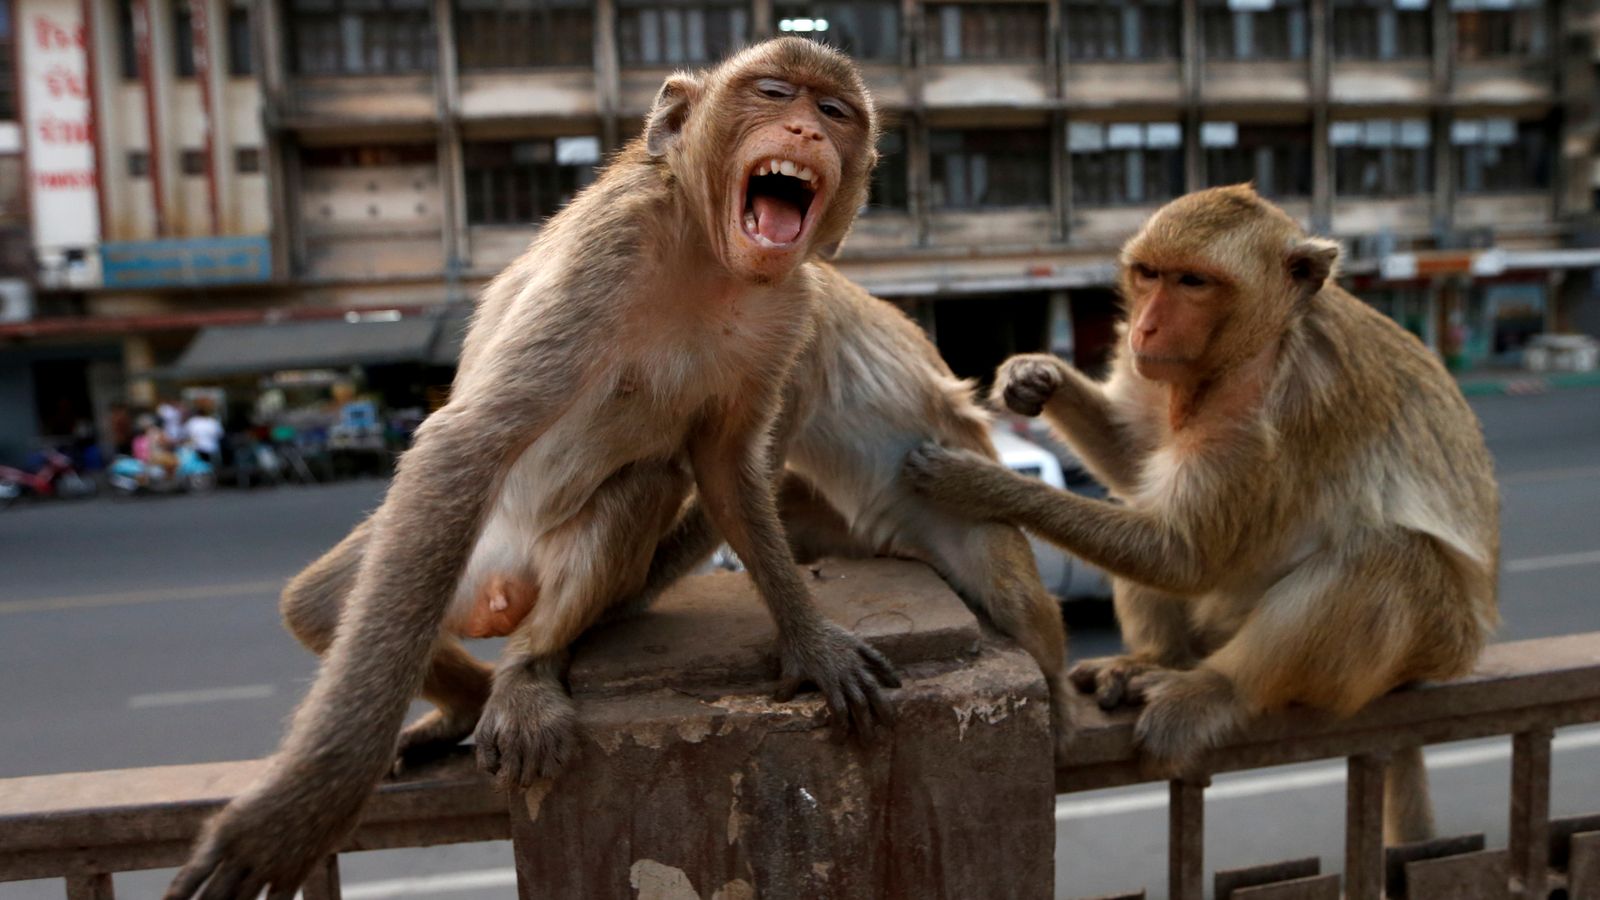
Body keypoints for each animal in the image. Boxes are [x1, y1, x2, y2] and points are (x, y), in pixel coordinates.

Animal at [166, 39, 908, 899]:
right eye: (775, 93)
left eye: (835, 112)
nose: (805, 131)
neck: (709, 256)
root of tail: (499, 590)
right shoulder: (612, 248)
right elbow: (467, 441)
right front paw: (307, 804)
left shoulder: (789, 305)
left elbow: (725, 468)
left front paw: (811, 642)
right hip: (446, 552)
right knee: (322, 604)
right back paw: (465, 699)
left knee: (642, 489)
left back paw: (522, 670)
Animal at [903, 184, 1499, 844]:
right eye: (1149, 274)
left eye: (1193, 282)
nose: (1146, 325)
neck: (1256, 345)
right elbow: (1137, 463)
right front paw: (1036, 376)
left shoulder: (1266, 413)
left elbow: (1184, 555)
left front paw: (976, 483)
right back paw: (1153, 659)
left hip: (1426, 649)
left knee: (1385, 555)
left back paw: (1217, 688)